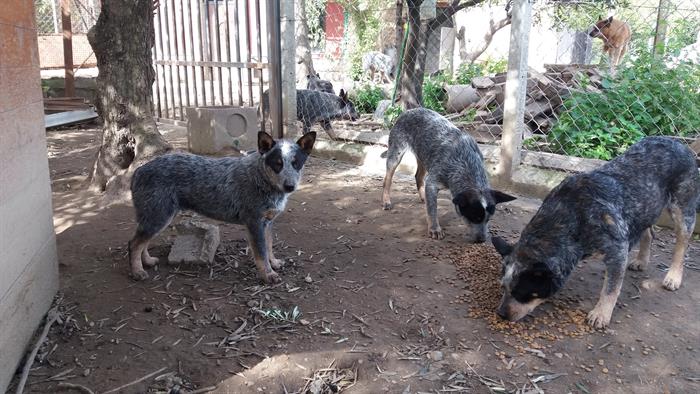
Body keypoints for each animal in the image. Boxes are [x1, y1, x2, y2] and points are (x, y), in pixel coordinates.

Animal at [129, 132, 318, 284]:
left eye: (296, 163)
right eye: (277, 164)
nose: (290, 186)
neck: (260, 178)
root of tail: (138, 171)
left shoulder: (267, 223)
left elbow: (269, 246)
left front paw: (274, 263)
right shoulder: (255, 224)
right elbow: (261, 254)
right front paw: (267, 274)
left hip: (155, 218)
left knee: (142, 242)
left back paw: (147, 262)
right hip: (159, 217)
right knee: (134, 244)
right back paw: (137, 271)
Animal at [380, 107, 516, 243]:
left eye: (488, 219)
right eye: (474, 217)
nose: (482, 240)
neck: (466, 163)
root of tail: (409, 110)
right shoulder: (432, 182)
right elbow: (432, 209)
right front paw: (435, 229)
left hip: (424, 157)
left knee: (418, 177)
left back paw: (423, 196)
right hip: (395, 154)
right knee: (387, 179)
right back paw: (386, 201)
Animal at [492, 137, 700, 328]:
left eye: (523, 293)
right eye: (503, 288)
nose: (501, 314)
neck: (570, 219)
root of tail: (681, 144)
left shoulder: (617, 251)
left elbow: (610, 289)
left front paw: (601, 314)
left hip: (683, 209)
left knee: (682, 243)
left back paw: (673, 277)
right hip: (645, 209)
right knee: (648, 233)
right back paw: (641, 260)